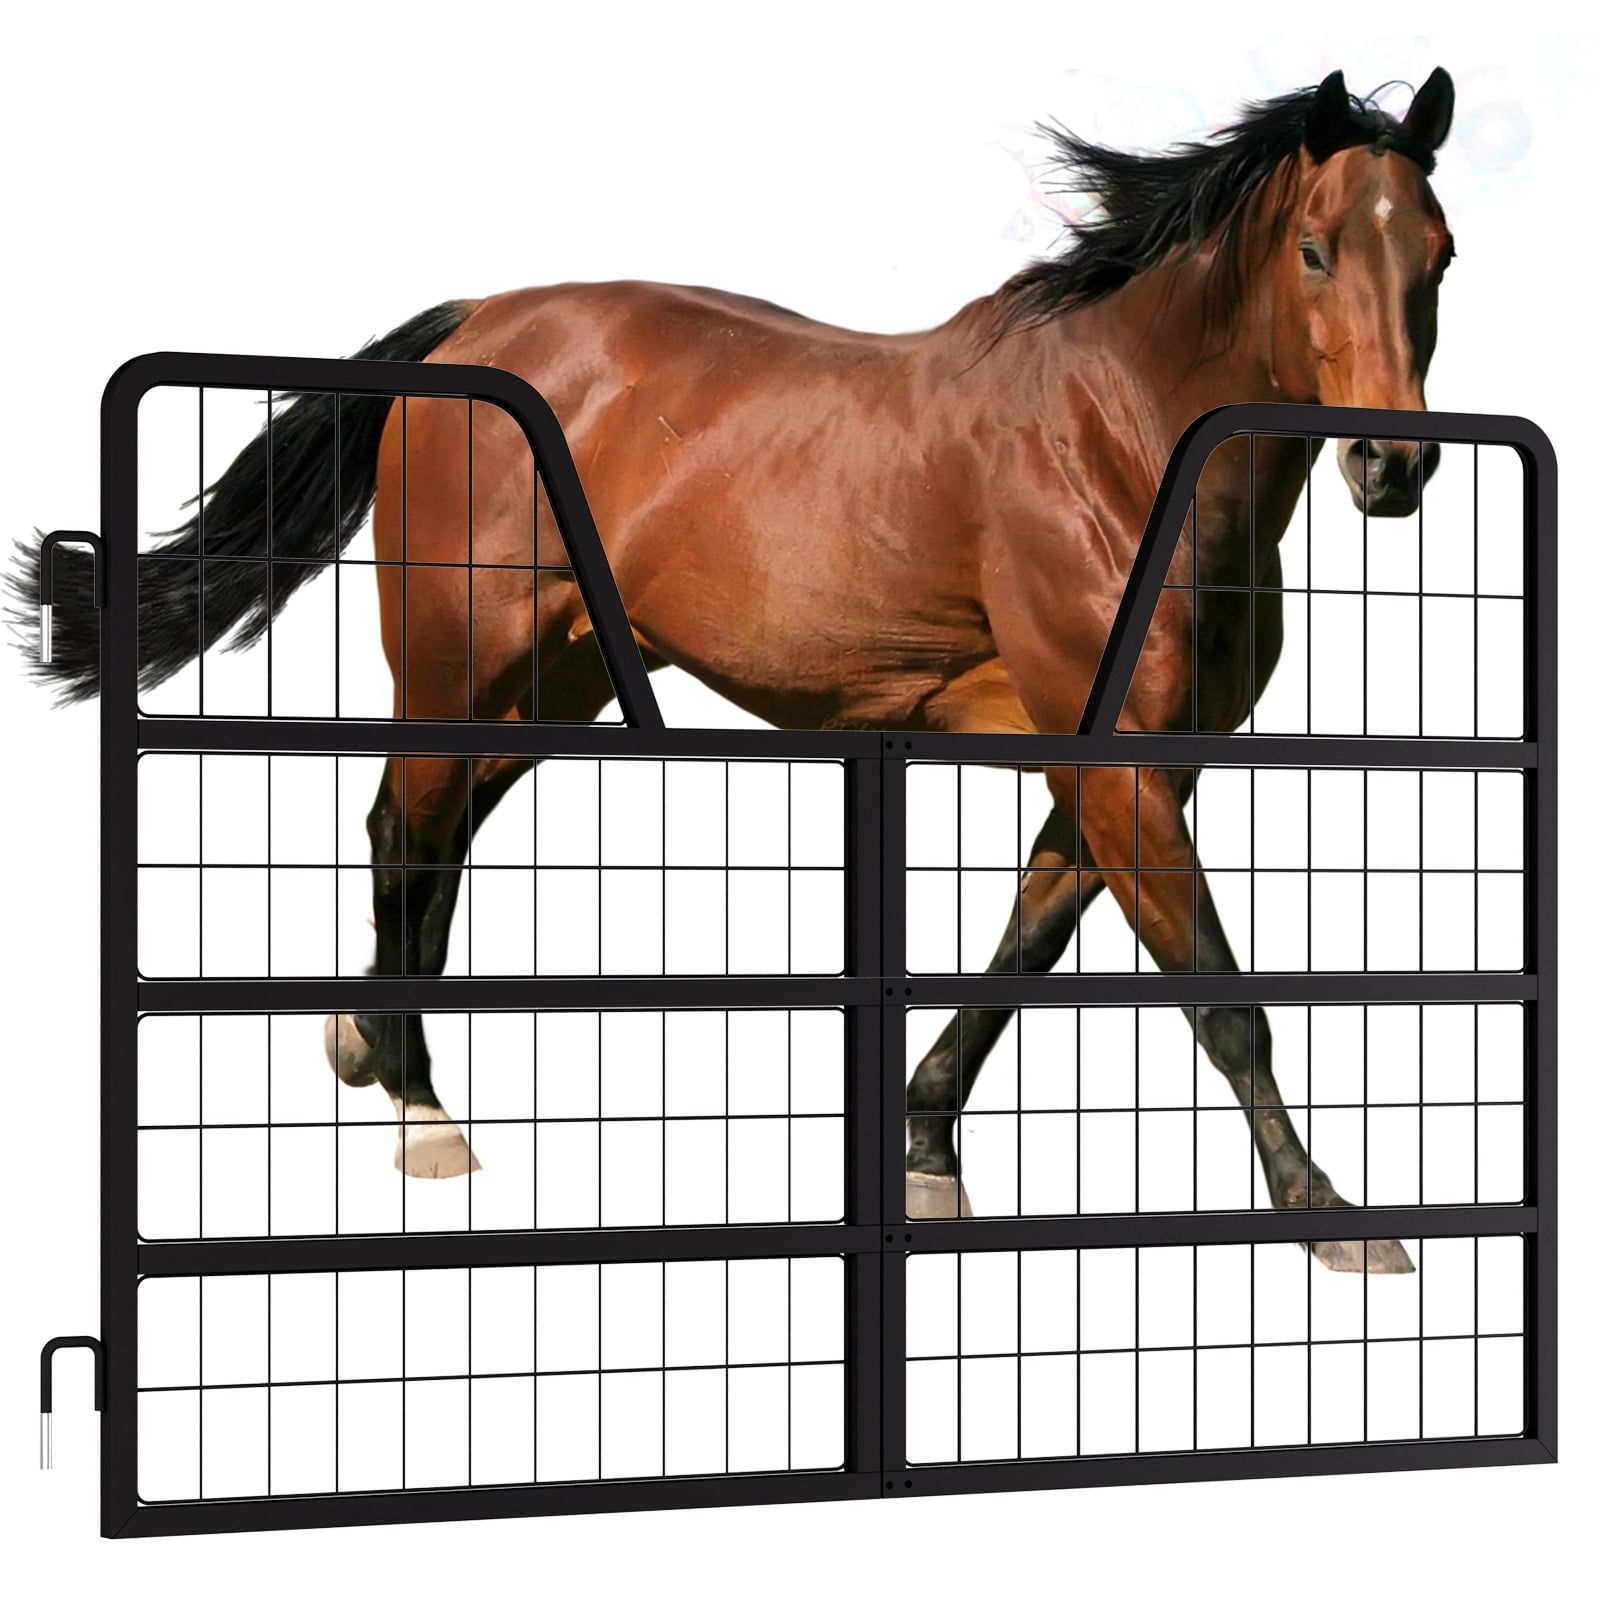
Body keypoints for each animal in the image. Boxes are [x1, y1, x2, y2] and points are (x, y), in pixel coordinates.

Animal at [22, 68, 1456, 1271]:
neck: (1111, 442)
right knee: (404, 833)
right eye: (1317, 249)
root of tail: (472, 327)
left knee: (427, 834)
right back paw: (419, 1107)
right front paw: (1333, 1215)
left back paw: (365, 1046)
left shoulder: (1129, 768)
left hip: (555, 689)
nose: (1393, 467)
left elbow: (1026, 947)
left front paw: (927, 1151)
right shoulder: (1116, 767)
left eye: (1437, 255)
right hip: (454, 665)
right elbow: (1220, 996)